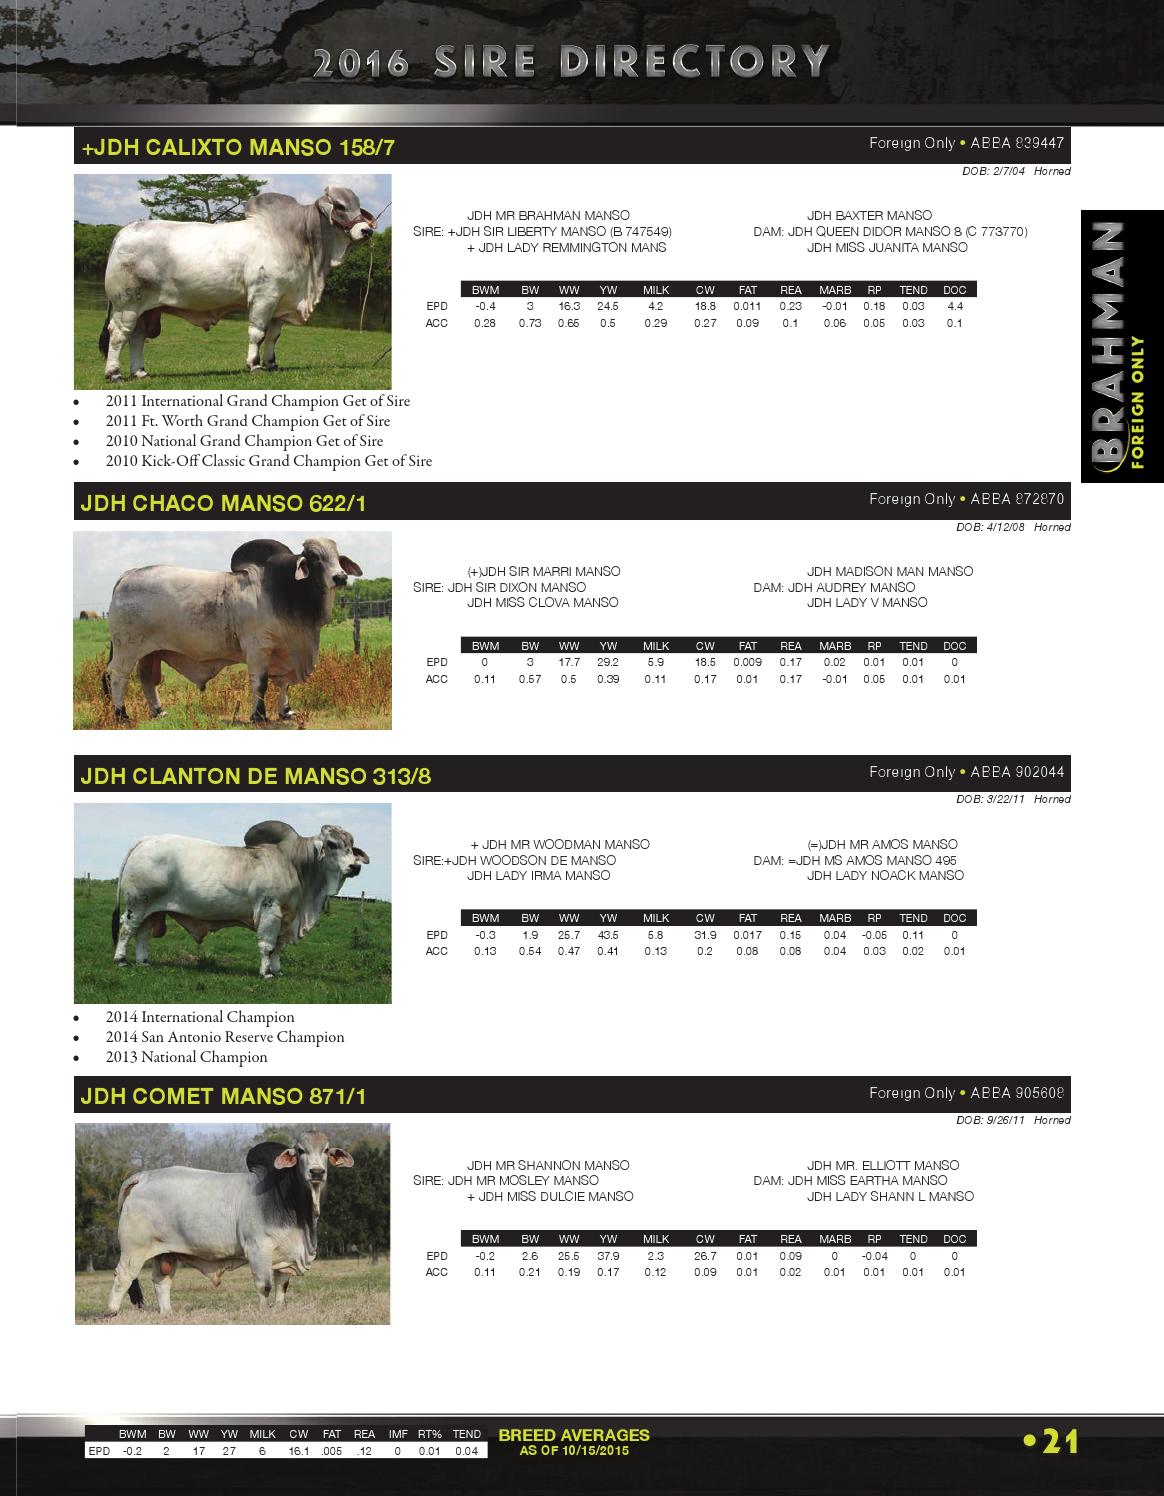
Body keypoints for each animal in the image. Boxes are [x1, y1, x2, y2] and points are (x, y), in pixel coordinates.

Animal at [99, 186, 376, 380]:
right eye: (339, 205)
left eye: (359, 206)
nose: (367, 231)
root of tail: (124, 231)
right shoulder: (264, 296)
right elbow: (257, 333)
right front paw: (254, 365)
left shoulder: (281, 300)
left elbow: (273, 336)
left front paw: (271, 364)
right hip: (127, 304)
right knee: (118, 335)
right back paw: (114, 373)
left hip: (147, 308)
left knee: (137, 338)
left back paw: (140, 372)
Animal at [102, 536, 362, 724]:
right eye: (315, 557)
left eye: (338, 558)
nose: (340, 577)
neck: (283, 590)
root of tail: (127, 575)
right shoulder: (258, 648)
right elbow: (261, 682)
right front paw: (259, 715)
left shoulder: (284, 651)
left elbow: (283, 684)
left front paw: (286, 711)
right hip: (127, 647)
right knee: (118, 677)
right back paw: (122, 715)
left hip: (150, 652)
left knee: (147, 679)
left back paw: (159, 712)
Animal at [108, 1133, 355, 1315]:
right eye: (301, 1150)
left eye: (326, 1150)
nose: (317, 1172)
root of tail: (143, 1176)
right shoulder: (258, 1249)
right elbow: (264, 1285)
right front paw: (263, 1311)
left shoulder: (285, 1255)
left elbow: (282, 1285)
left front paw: (279, 1309)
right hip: (134, 1249)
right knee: (123, 1276)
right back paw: (111, 1312)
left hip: (166, 1252)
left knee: (161, 1280)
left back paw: (167, 1313)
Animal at [112, 819, 369, 978]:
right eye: (332, 844)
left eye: (351, 845)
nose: (355, 867)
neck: (296, 865)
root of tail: (145, 840)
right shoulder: (270, 910)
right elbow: (267, 945)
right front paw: (266, 973)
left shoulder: (287, 917)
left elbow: (279, 947)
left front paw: (277, 970)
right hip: (138, 902)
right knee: (127, 928)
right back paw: (120, 959)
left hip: (152, 909)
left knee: (143, 933)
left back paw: (143, 961)